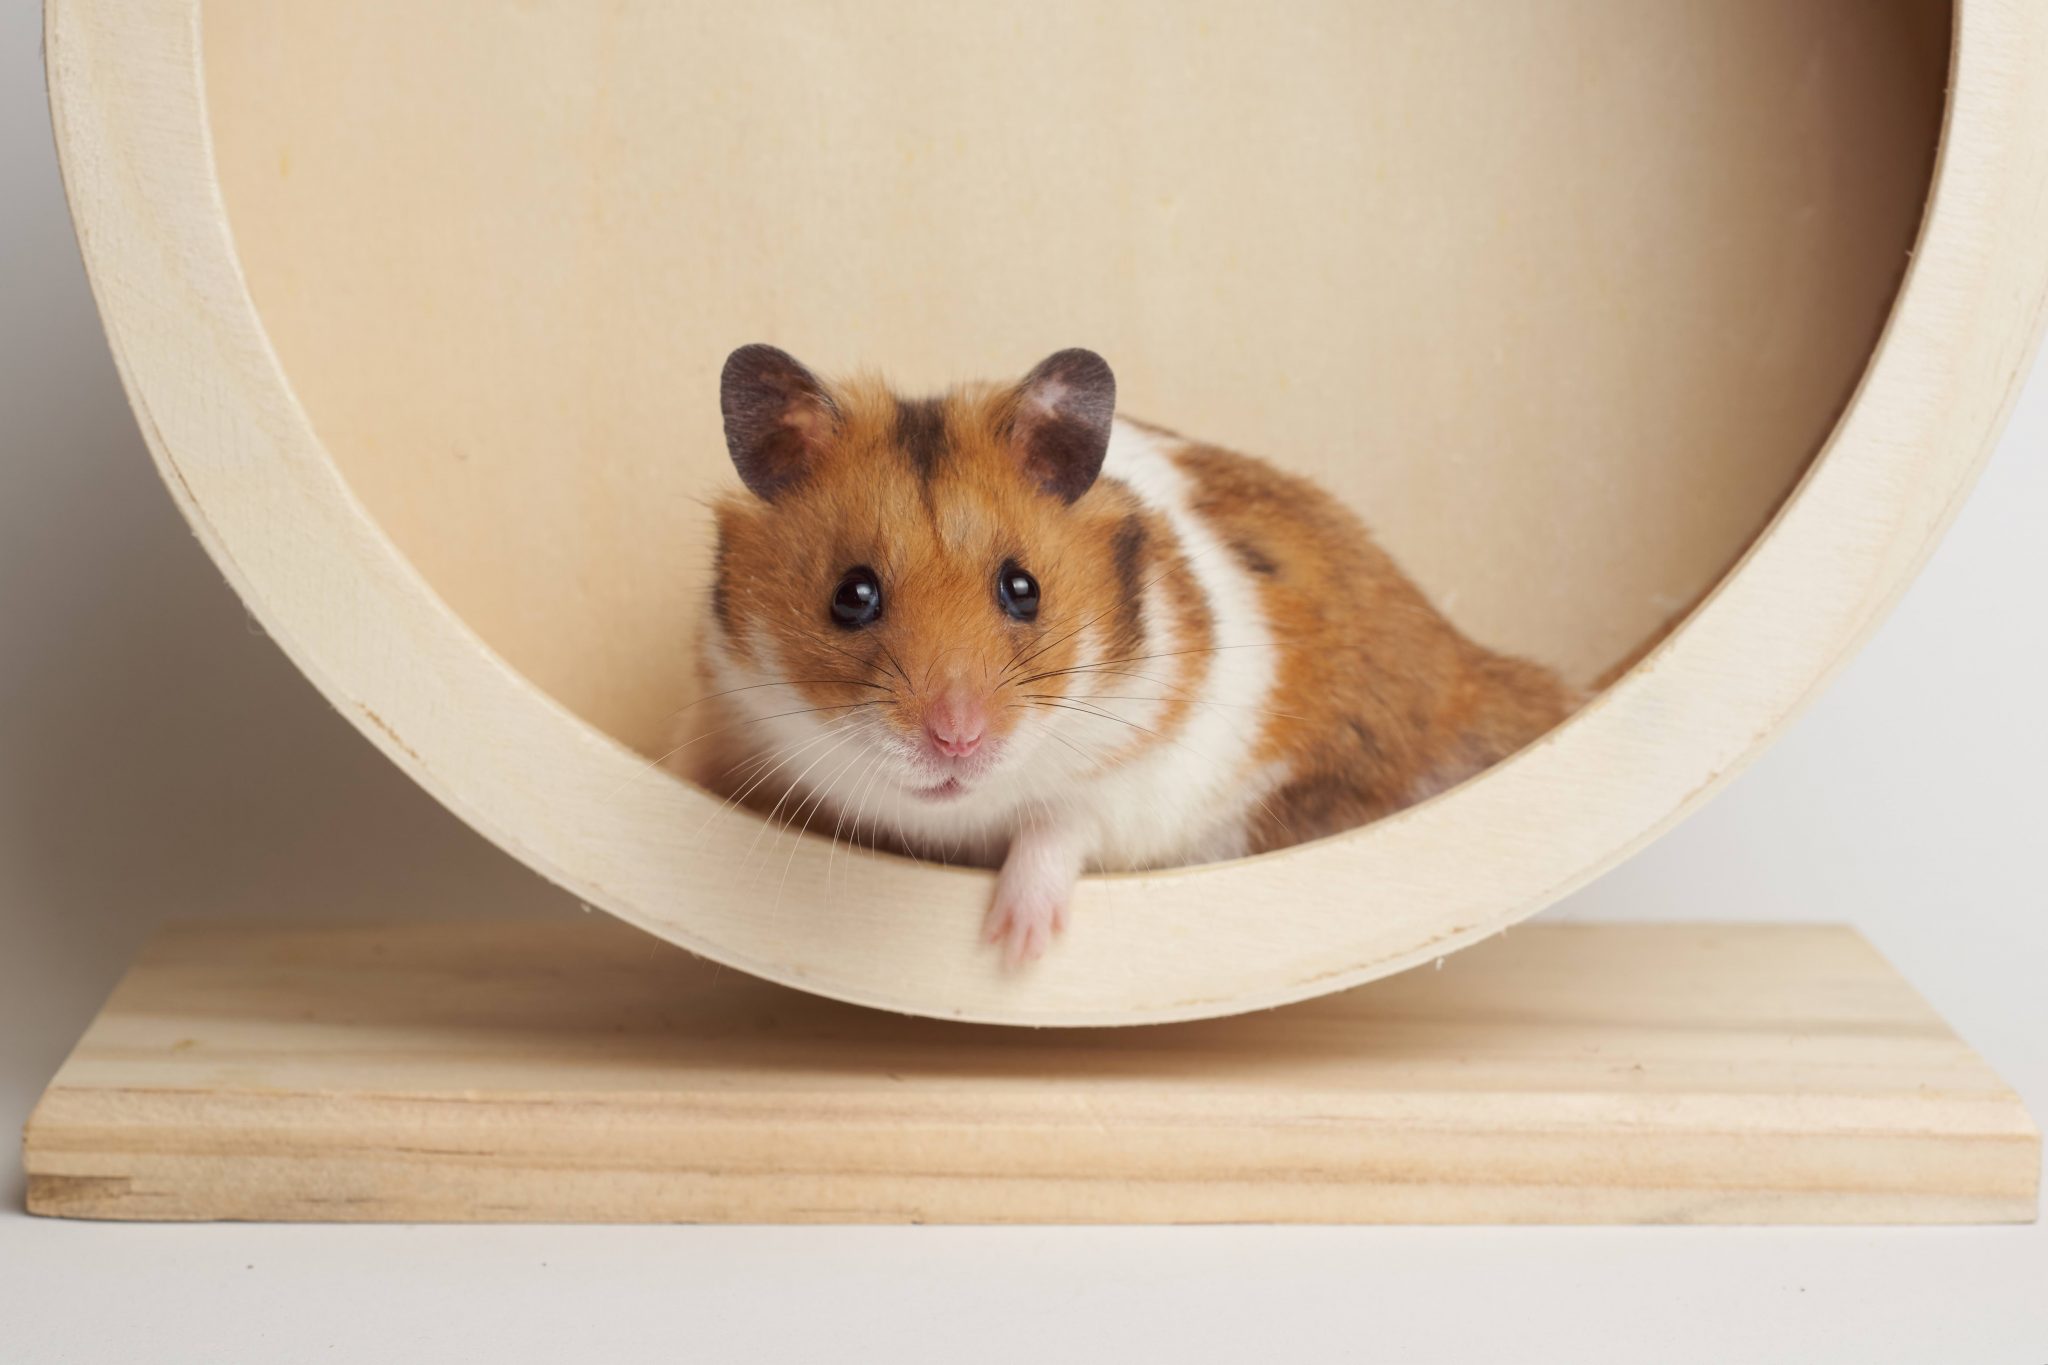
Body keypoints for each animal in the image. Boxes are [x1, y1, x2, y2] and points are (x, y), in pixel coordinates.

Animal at [688, 345, 1574, 966]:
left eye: (1023, 587)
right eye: (853, 595)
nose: (957, 739)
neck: (958, 813)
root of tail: (1469, 666)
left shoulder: (1143, 770)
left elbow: (1059, 824)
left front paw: (1014, 949)